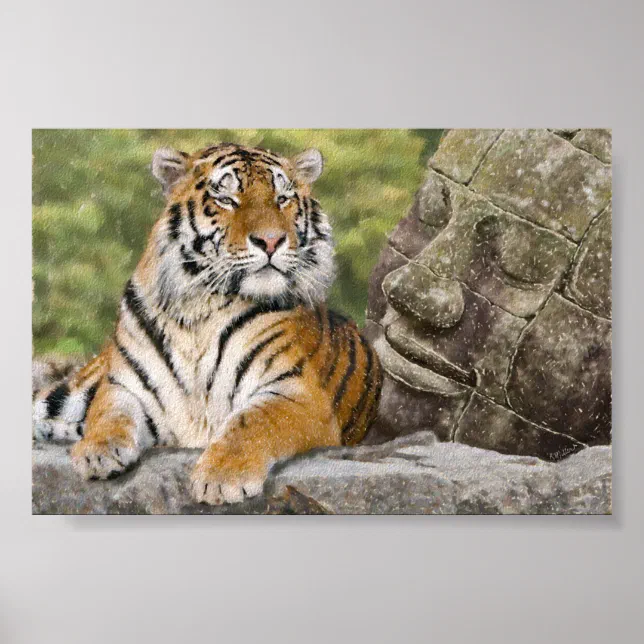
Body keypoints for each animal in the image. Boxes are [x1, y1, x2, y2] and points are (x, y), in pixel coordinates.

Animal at [33, 143, 383, 506]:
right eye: (227, 199)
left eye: (283, 198)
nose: (271, 241)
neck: (198, 310)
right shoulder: (124, 385)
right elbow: (108, 414)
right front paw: (97, 452)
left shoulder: (298, 393)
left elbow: (252, 421)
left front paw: (222, 477)